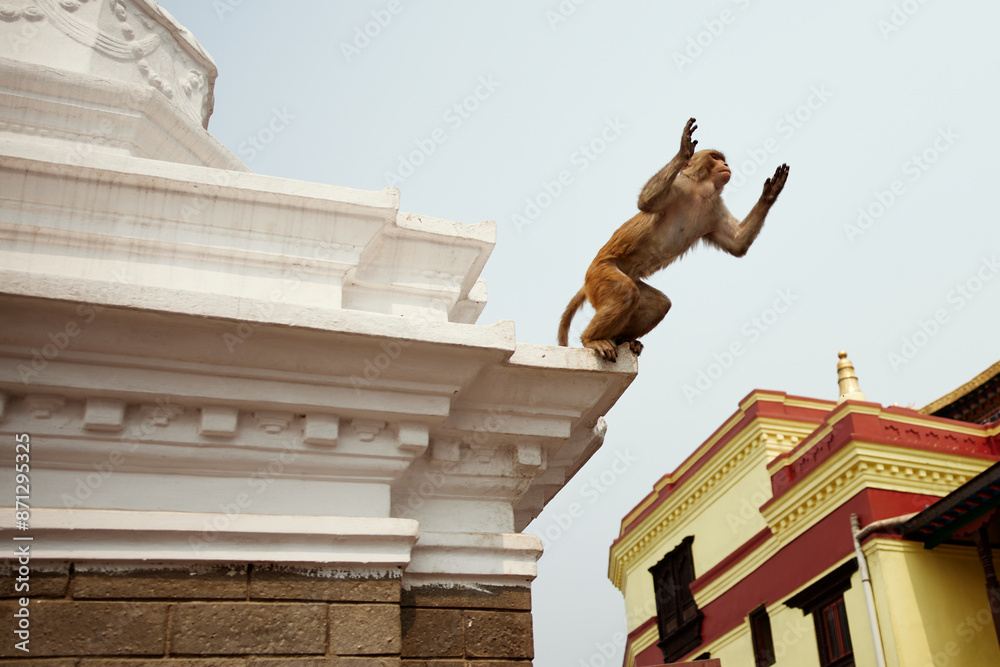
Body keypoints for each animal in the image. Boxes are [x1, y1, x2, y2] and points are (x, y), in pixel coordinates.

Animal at [558, 117, 789, 363]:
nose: (726, 165)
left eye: (722, 159)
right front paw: (683, 152)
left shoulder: (714, 210)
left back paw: (621, 339)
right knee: (625, 291)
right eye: (715, 157)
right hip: (600, 274)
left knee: (658, 304)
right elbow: (646, 202)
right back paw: (592, 339)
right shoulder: (679, 188)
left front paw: (770, 194)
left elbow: (738, 243)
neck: (700, 192)